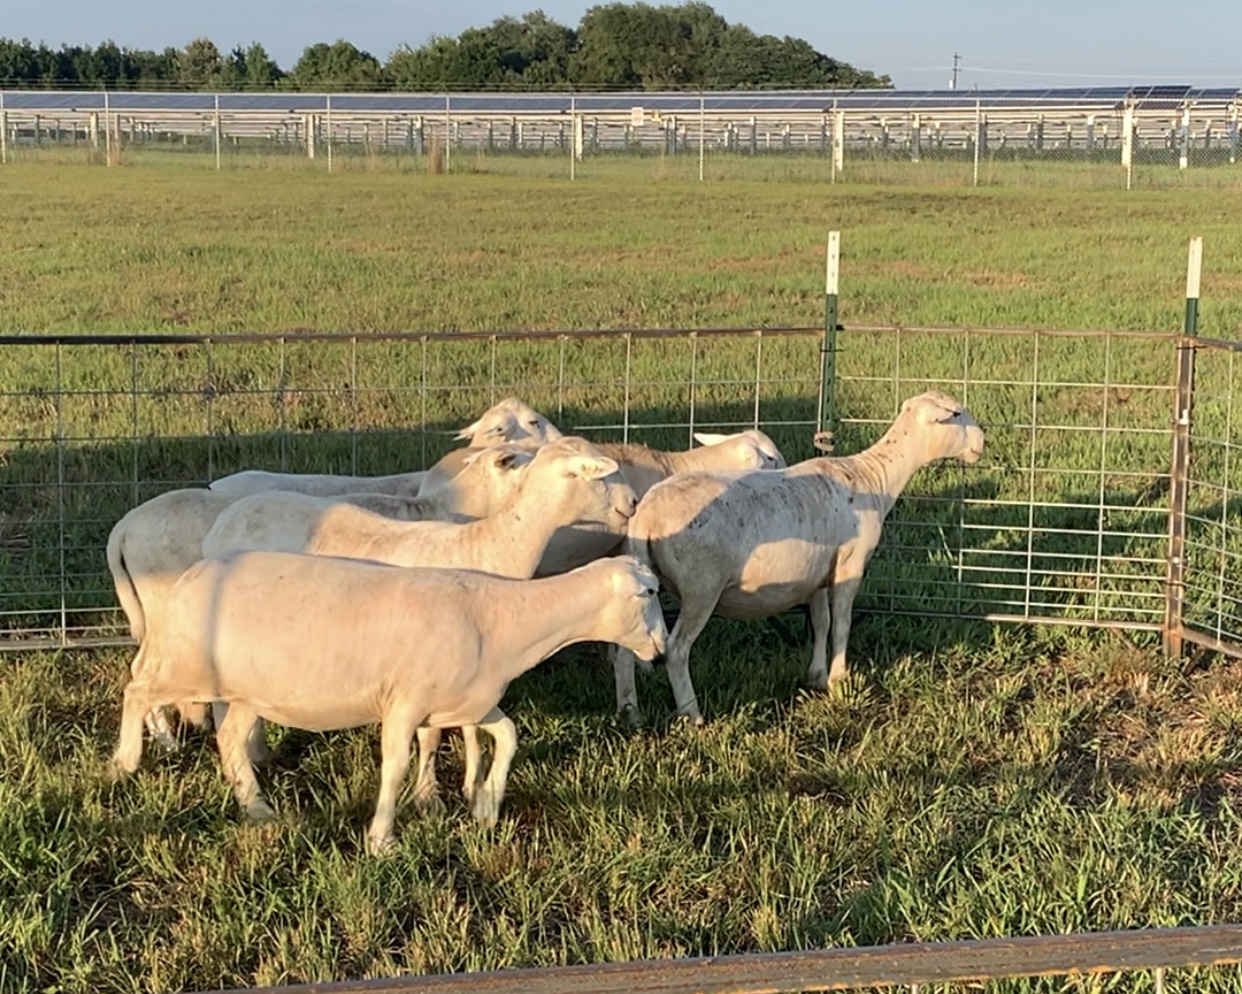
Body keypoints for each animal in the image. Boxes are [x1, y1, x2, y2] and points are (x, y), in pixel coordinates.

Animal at [106, 551, 667, 854]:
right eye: (649, 595)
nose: (661, 649)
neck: (505, 621)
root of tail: (190, 577)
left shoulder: (463, 702)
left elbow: (507, 735)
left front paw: (485, 805)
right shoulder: (405, 704)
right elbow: (395, 766)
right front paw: (382, 839)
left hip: (247, 690)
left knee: (228, 739)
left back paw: (258, 808)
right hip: (187, 666)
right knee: (137, 688)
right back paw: (125, 762)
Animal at [198, 436, 638, 811]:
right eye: (599, 474)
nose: (633, 502)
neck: (486, 546)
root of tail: (220, 525)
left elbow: (470, 727)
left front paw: (471, 784)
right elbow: (432, 736)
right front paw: (430, 796)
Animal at [611, 390, 985, 727]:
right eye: (955, 414)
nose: (983, 442)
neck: (874, 476)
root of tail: (646, 515)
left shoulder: (817, 573)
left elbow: (820, 622)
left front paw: (816, 675)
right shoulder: (850, 565)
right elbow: (842, 624)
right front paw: (838, 680)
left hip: (639, 588)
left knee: (623, 650)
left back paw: (631, 712)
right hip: (701, 587)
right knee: (676, 650)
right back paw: (691, 713)